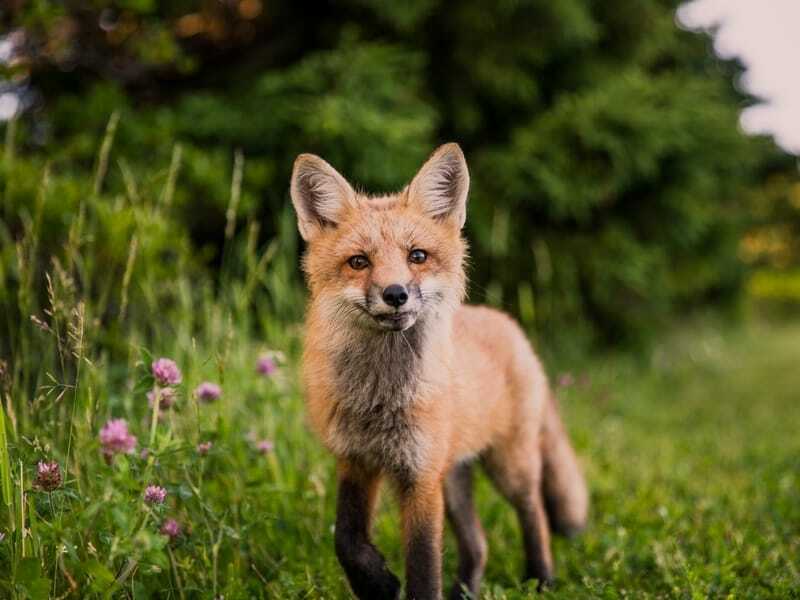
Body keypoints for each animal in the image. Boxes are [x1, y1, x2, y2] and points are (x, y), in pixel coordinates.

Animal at [290, 143, 588, 596]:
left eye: (417, 256)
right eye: (358, 262)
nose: (395, 293)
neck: (380, 399)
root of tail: (508, 324)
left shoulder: (420, 476)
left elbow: (424, 565)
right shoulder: (357, 460)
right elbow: (346, 539)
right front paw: (376, 584)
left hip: (509, 465)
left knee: (534, 510)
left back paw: (541, 578)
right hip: (455, 477)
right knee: (479, 543)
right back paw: (466, 591)